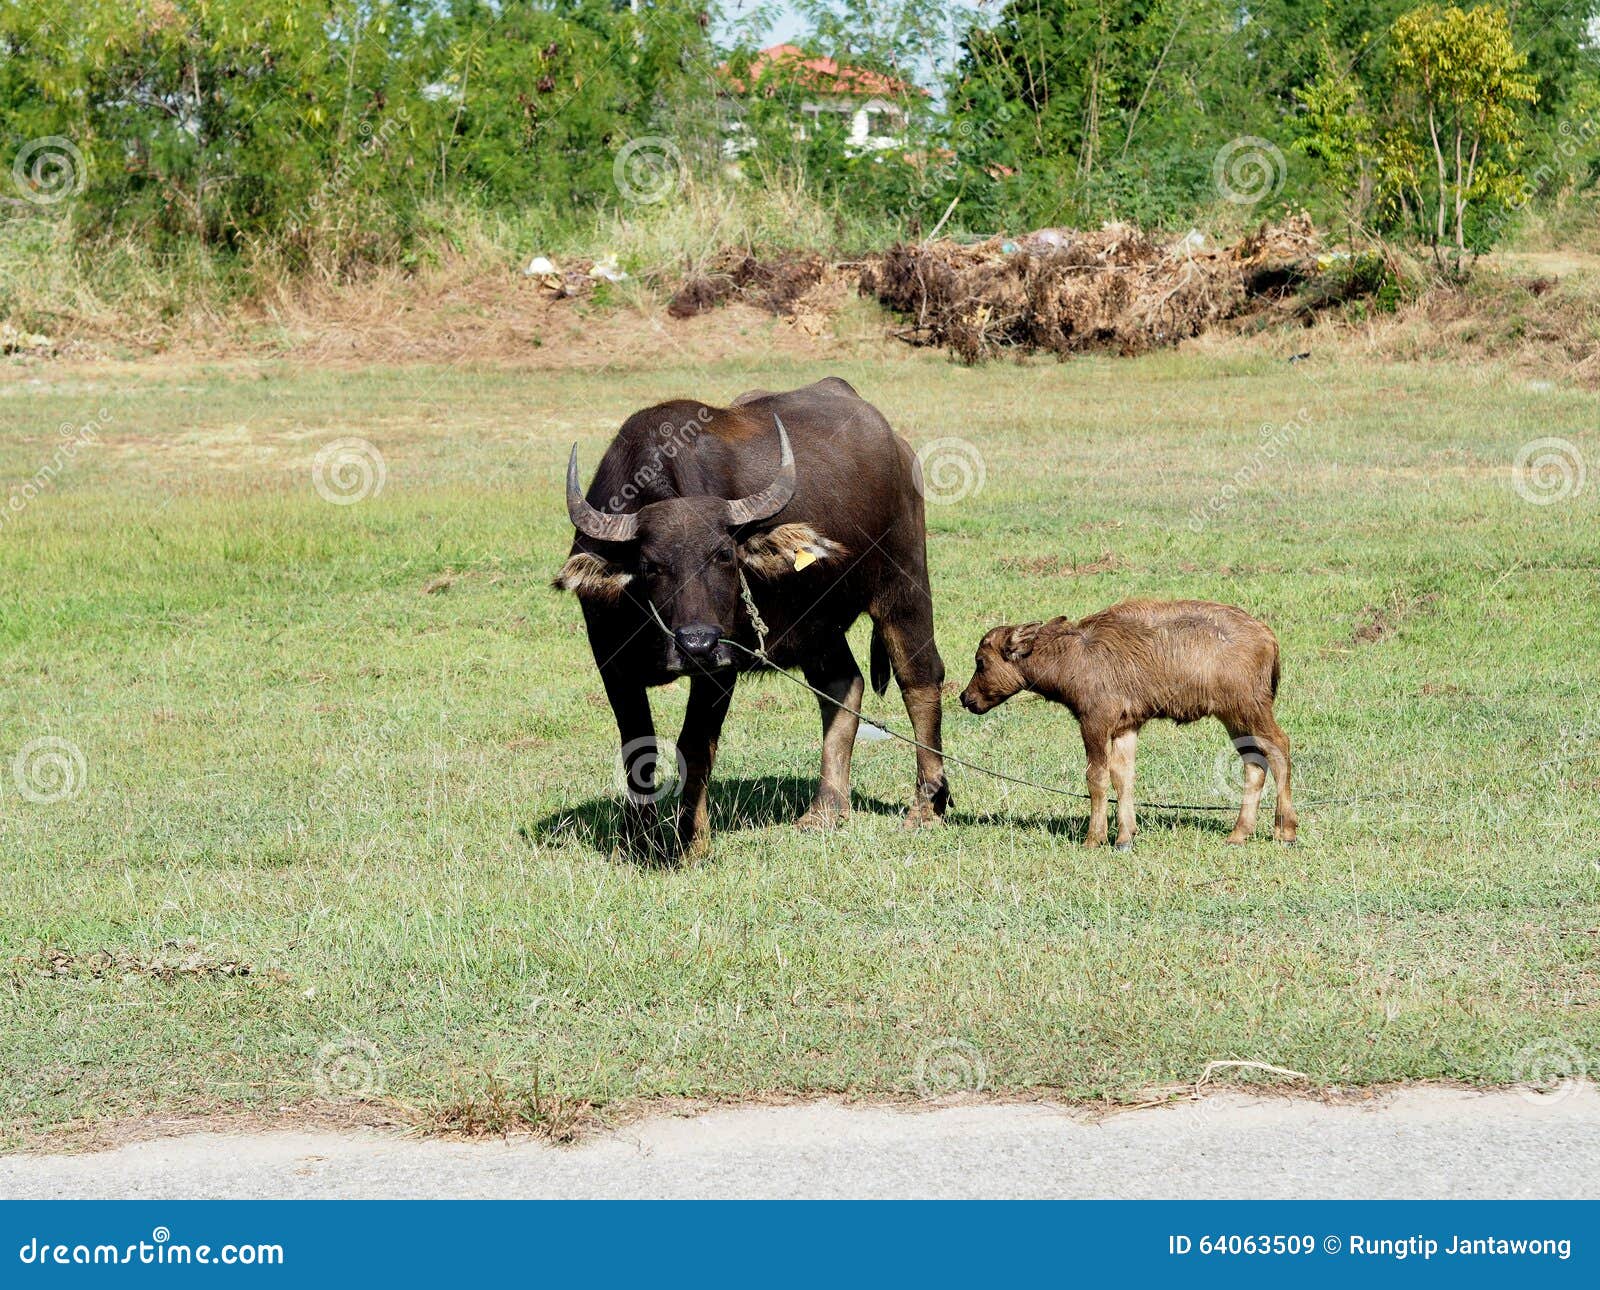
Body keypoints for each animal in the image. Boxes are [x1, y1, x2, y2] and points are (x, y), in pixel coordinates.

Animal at [555, 377, 948, 858]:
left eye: (724, 556)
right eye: (650, 566)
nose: (697, 644)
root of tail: (897, 446)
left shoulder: (721, 667)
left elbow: (695, 747)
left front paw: (692, 840)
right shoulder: (611, 661)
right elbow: (638, 749)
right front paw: (639, 840)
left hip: (904, 585)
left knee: (920, 680)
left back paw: (926, 807)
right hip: (818, 626)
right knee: (842, 685)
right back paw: (825, 810)